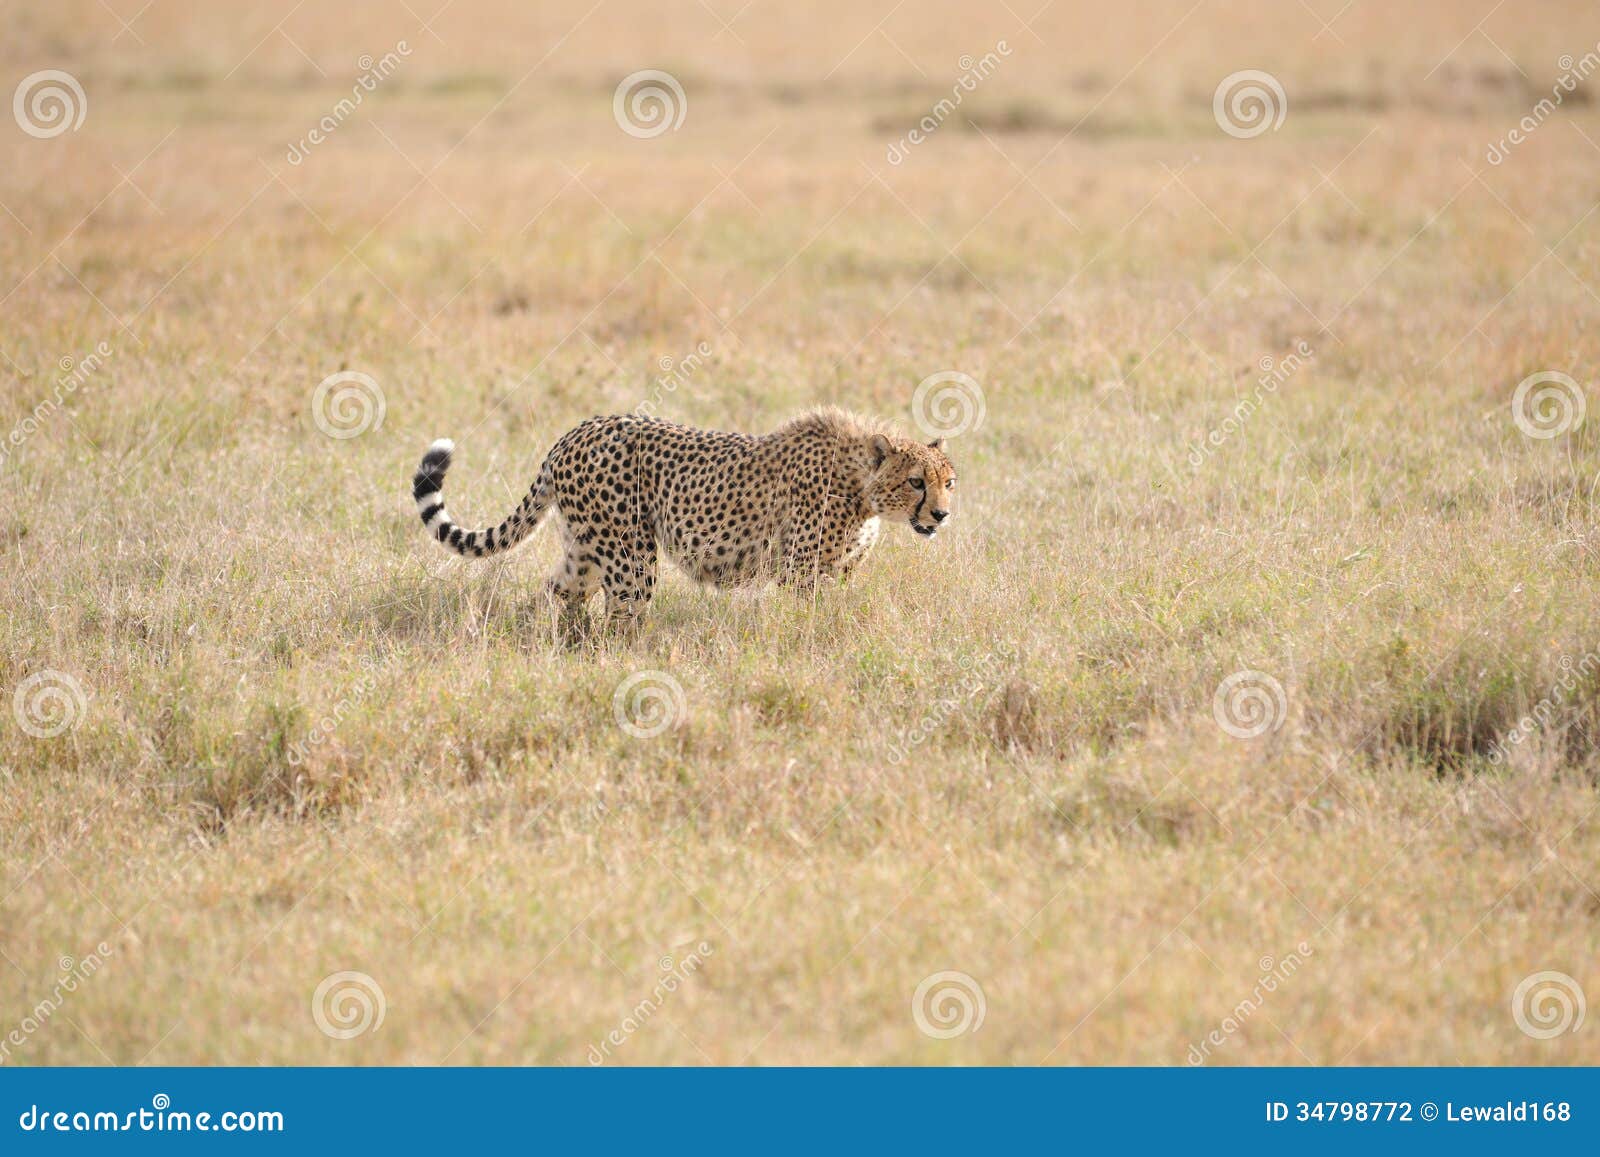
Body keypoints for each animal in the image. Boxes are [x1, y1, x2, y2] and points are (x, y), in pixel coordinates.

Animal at [411, 407, 956, 640]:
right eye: (916, 482)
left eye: (948, 481)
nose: (941, 514)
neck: (861, 484)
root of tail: (577, 430)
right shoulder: (801, 570)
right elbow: (816, 618)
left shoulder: (838, 570)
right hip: (629, 554)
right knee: (623, 612)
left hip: (584, 548)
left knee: (559, 590)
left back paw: (562, 640)